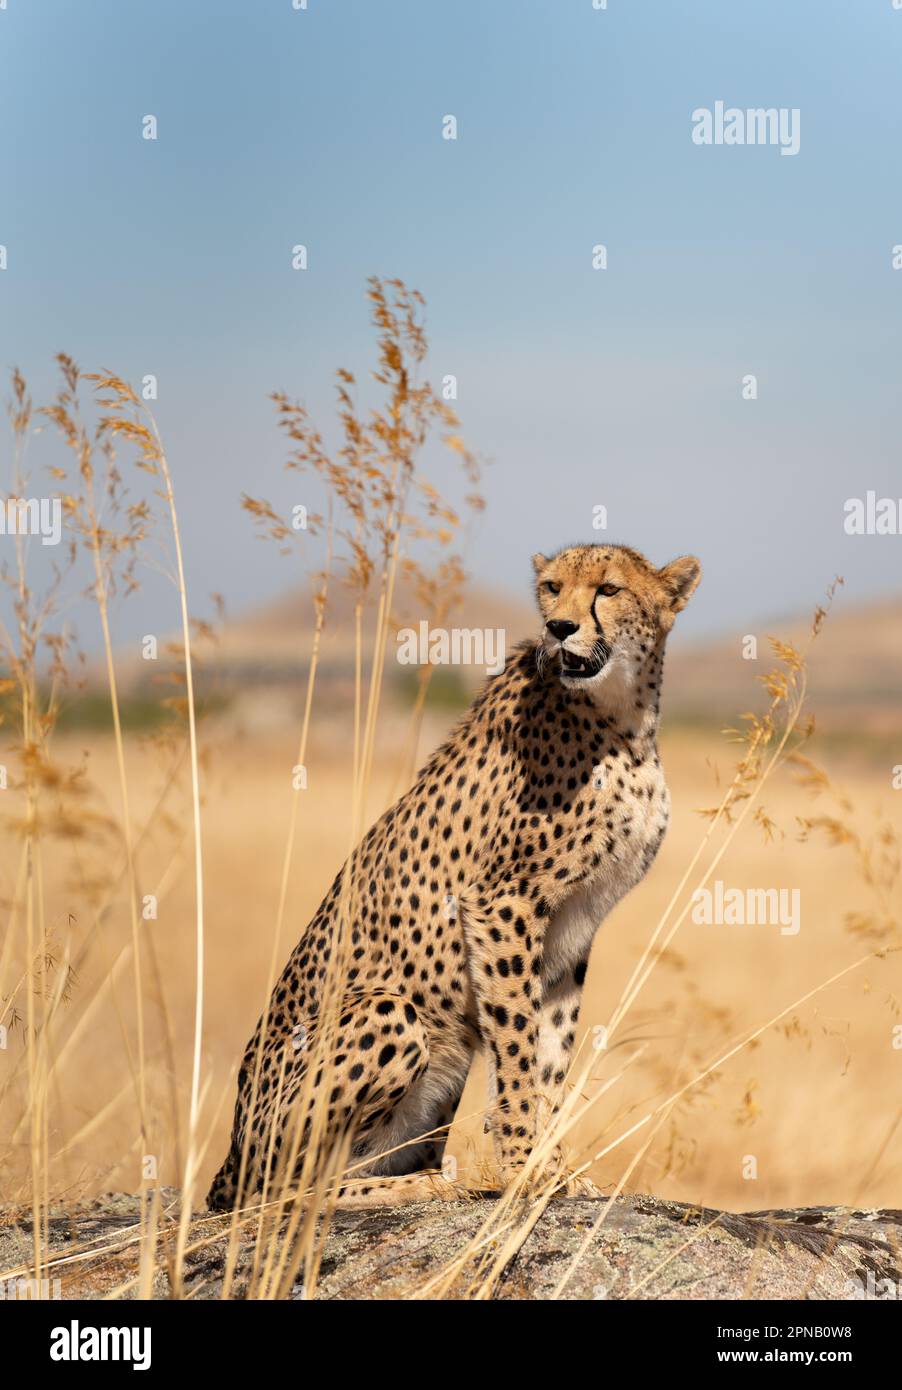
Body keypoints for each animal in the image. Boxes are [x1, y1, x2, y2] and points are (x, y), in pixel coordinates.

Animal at [207, 542, 701, 1211]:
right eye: (551, 588)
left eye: (608, 589)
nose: (559, 628)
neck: (623, 713)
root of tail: (231, 1155)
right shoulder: (503, 904)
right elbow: (518, 1050)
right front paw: (521, 1170)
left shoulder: (572, 925)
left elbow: (551, 1053)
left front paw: (555, 1169)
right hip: (388, 1013)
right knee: (287, 1195)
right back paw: (423, 1184)